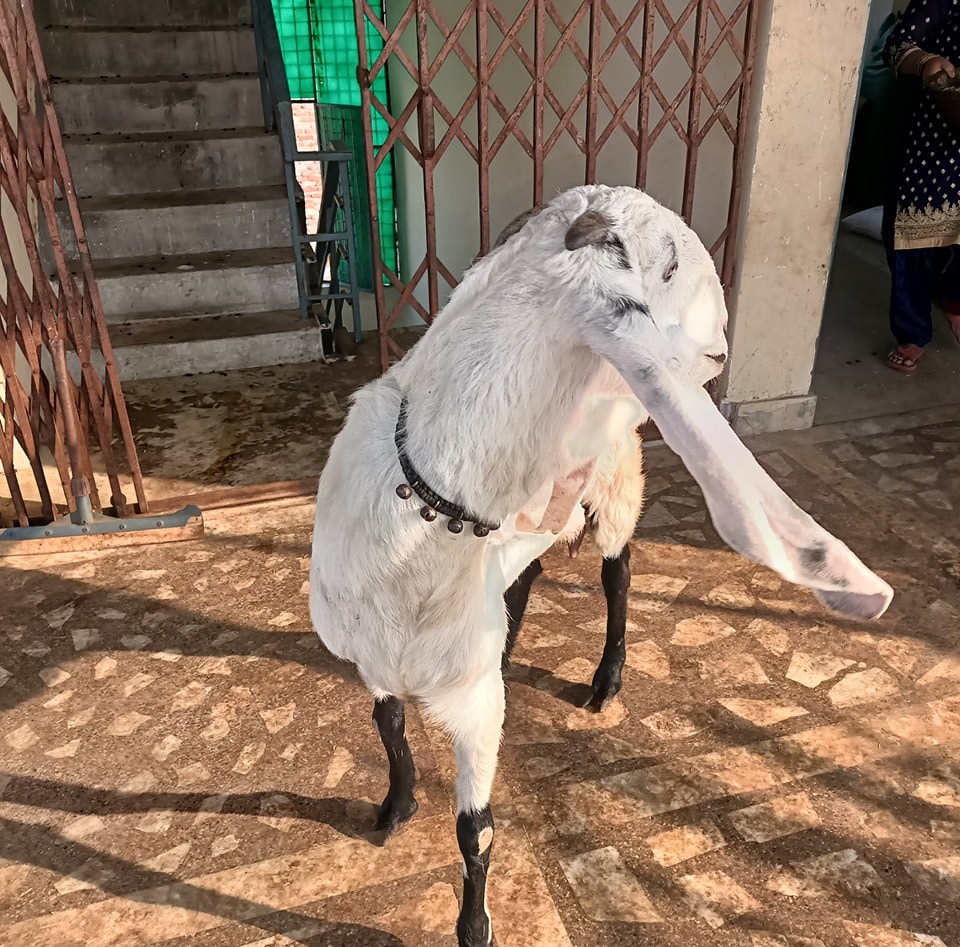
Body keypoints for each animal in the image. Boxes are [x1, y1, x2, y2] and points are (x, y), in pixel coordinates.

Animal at [309, 184, 893, 946]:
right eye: (668, 265)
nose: (723, 340)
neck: (423, 522)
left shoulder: (474, 703)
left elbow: (476, 829)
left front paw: (476, 927)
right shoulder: (371, 660)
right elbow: (389, 729)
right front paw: (393, 808)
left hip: (618, 481)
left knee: (617, 574)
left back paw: (606, 679)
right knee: (531, 573)